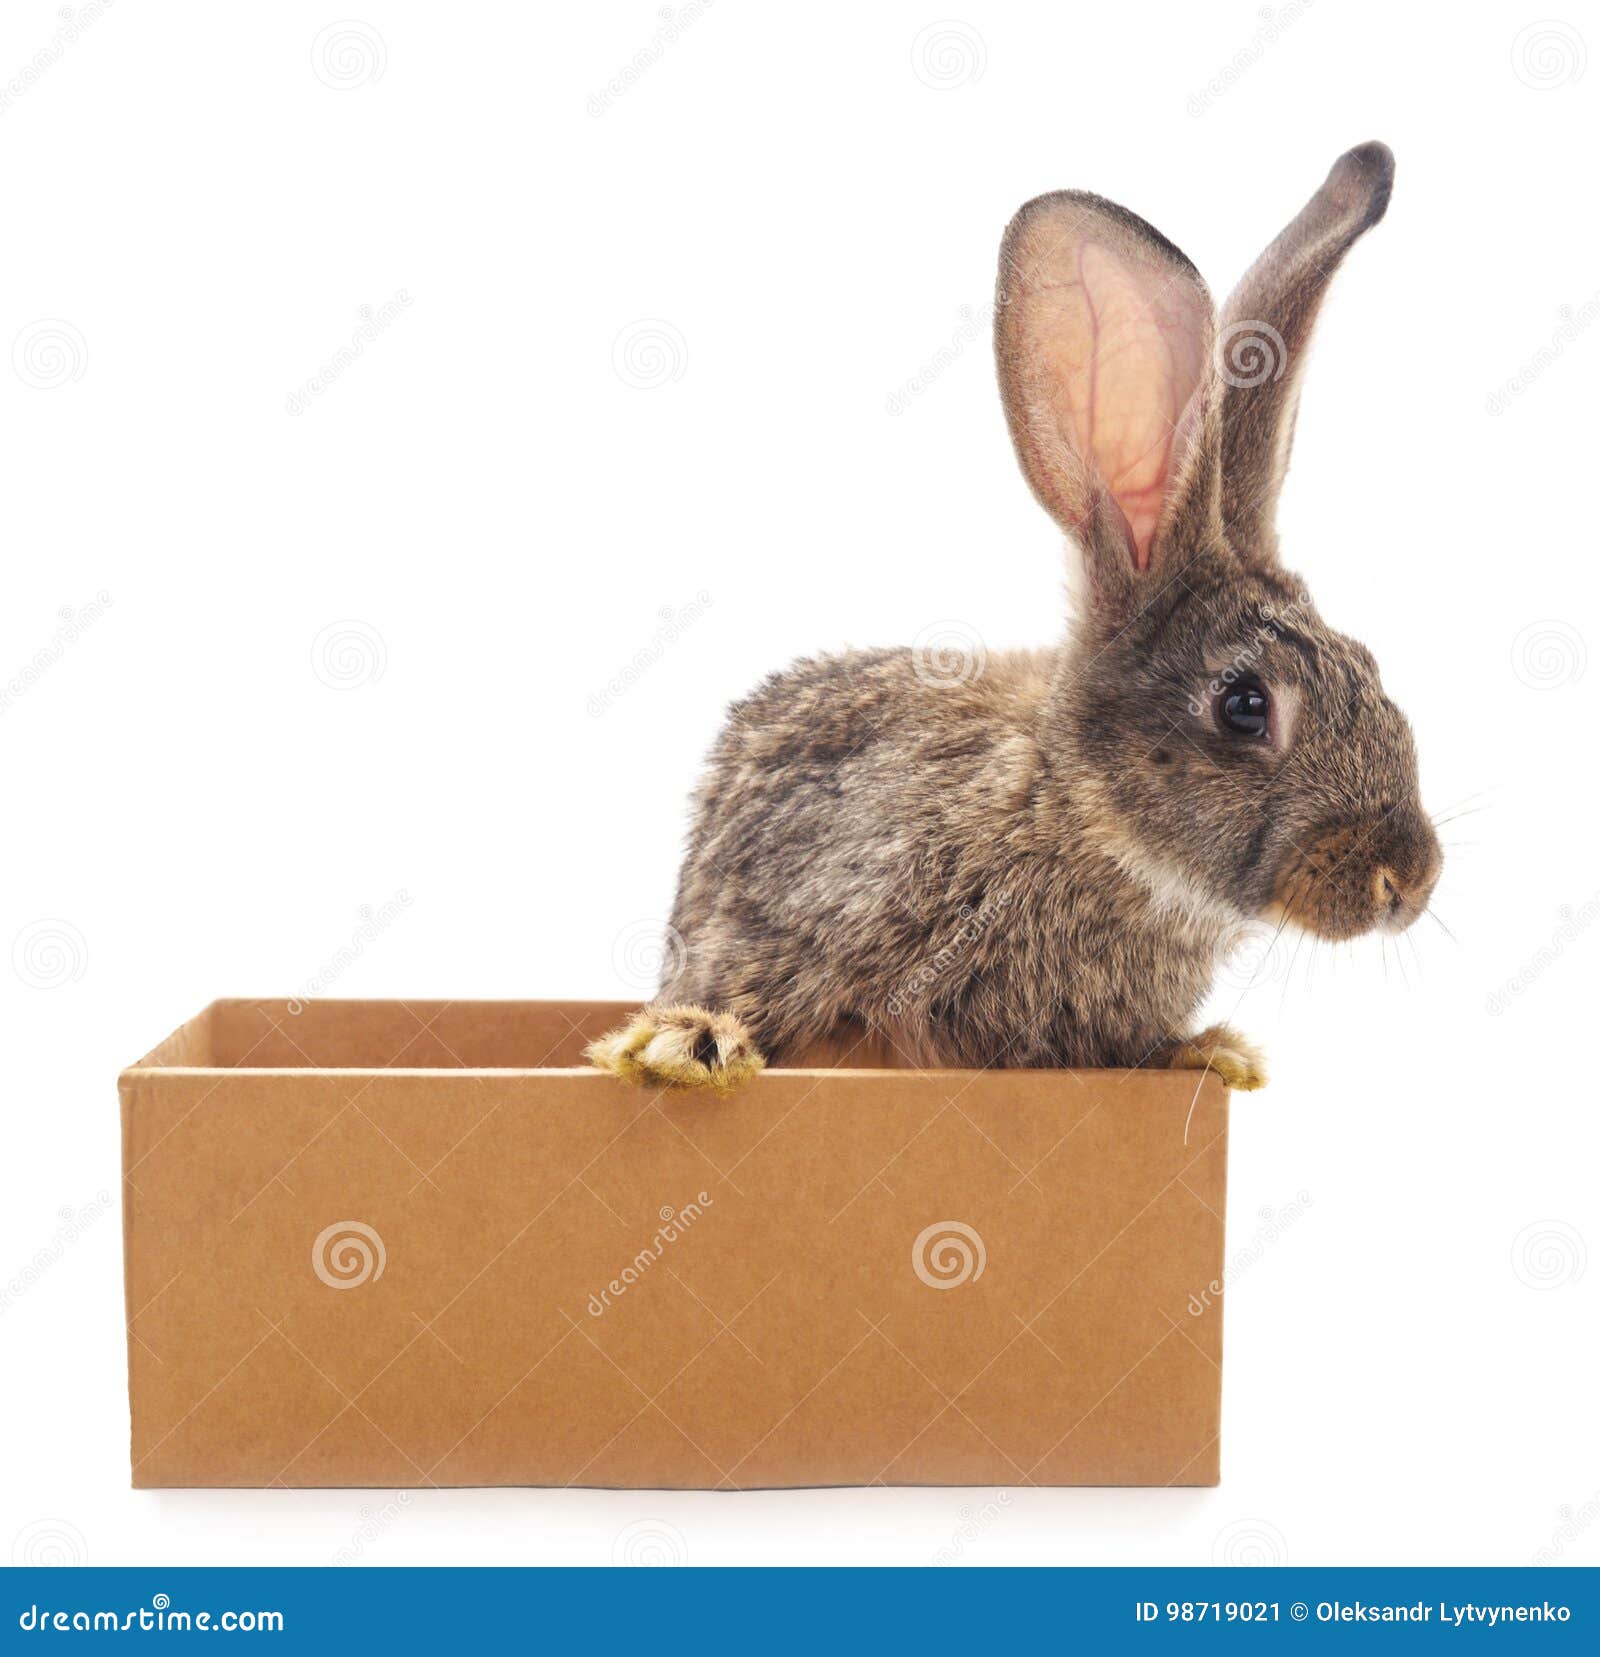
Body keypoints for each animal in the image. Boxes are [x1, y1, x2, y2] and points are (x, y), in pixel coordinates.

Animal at [588, 142, 1441, 1094]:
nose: (1408, 878)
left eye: (1370, 665)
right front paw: (687, 1046)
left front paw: (1213, 1053)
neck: (1067, 804)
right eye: (1245, 706)